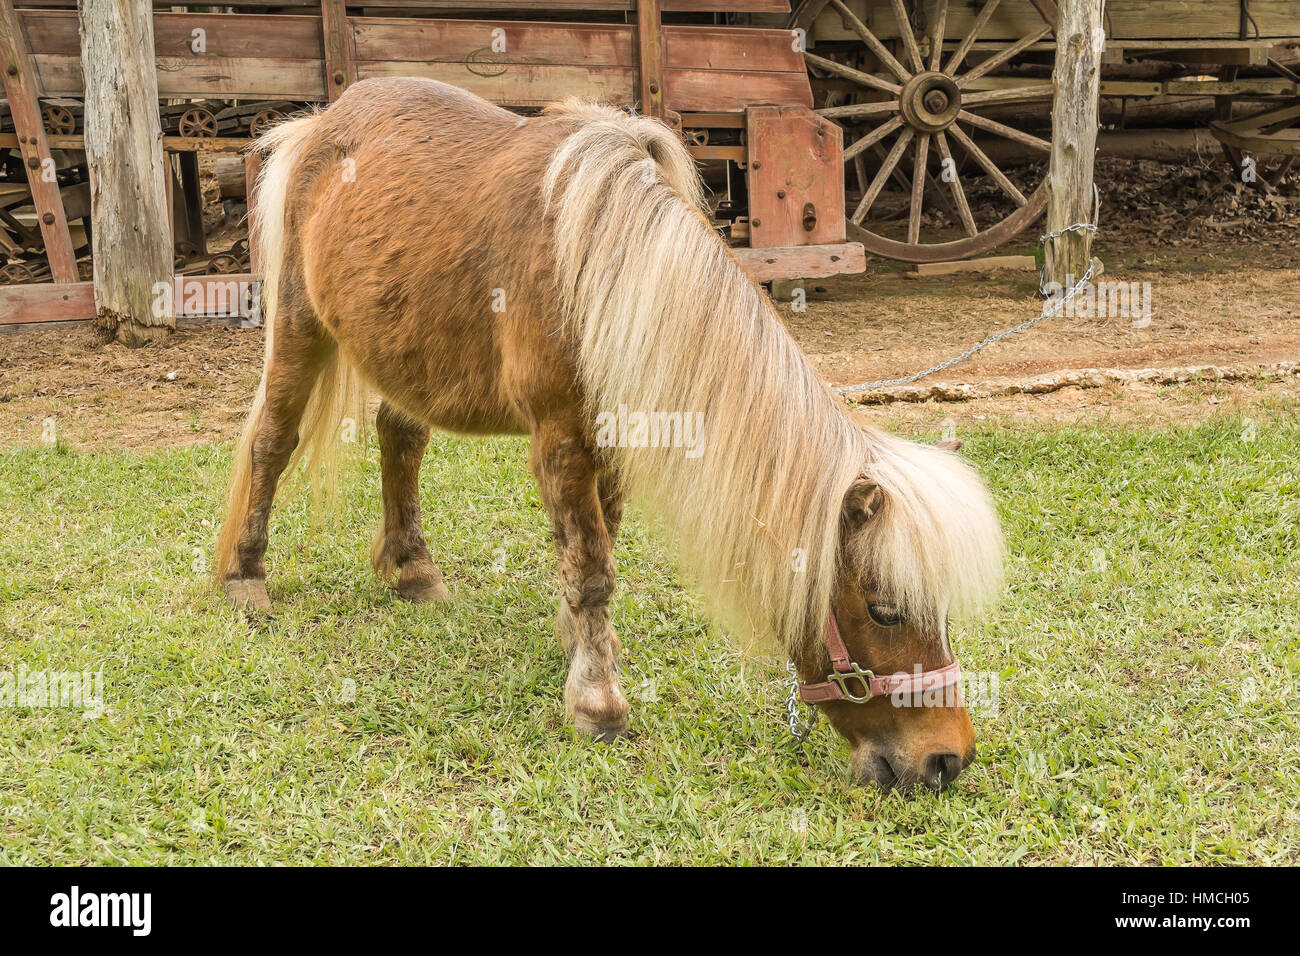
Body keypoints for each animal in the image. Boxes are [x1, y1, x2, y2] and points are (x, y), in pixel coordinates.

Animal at [213, 77, 1004, 791]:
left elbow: (600, 548)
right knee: (273, 440)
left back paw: (413, 569)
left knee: (399, 438)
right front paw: (597, 702)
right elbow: (592, 567)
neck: (602, 270)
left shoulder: (619, 435)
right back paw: (245, 577)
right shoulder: (560, 440)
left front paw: (581, 647)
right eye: (885, 609)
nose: (947, 759)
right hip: (300, 325)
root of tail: (323, 122)